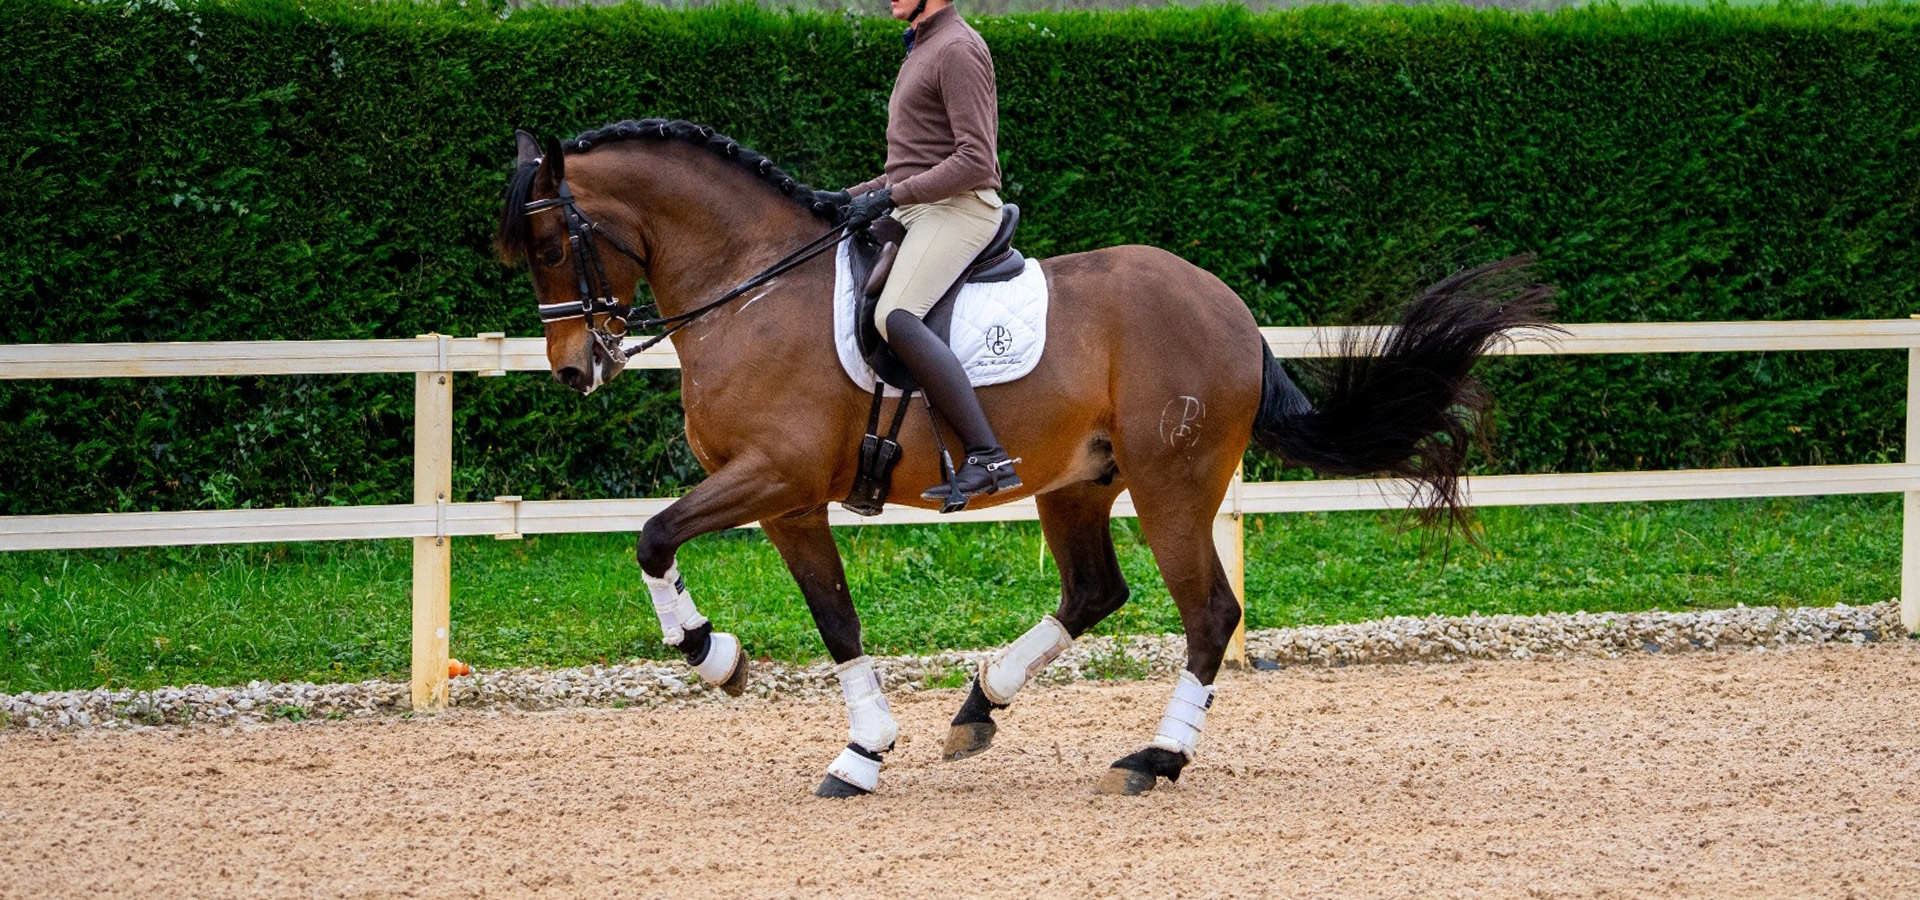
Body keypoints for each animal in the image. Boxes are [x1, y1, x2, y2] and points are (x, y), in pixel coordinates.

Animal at [496, 119, 1554, 798]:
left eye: (548, 245)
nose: (573, 368)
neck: (753, 288)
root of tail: (1229, 309)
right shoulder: (789, 502)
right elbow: (835, 619)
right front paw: (859, 749)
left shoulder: (775, 477)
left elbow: (652, 535)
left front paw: (715, 657)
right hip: (1078, 483)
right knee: (1093, 591)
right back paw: (980, 705)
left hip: (1172, 485)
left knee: (1209, 612)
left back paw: (1155, 759)